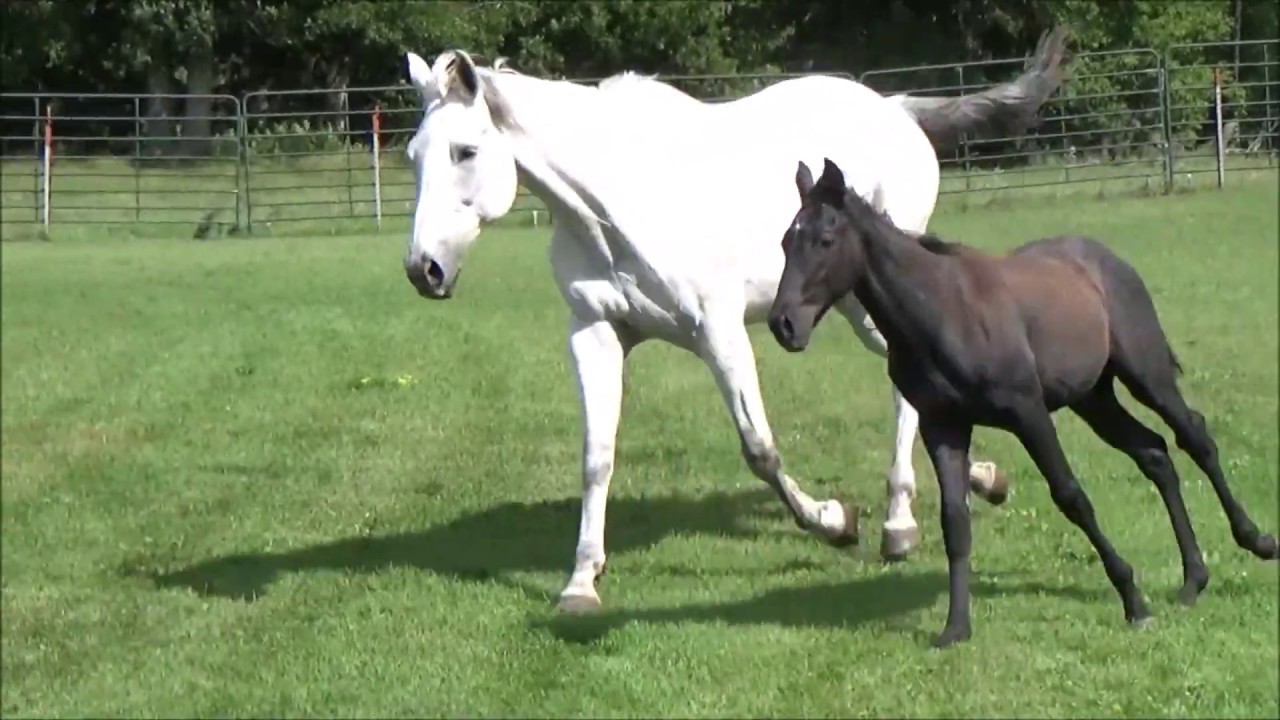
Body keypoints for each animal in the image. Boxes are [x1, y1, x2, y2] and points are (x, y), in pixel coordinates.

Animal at [398, 27, 1071, 613]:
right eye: (413, 156)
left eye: (466, 151)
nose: (423, 269)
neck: (620, 200)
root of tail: (895, 109)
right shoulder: (594, 333)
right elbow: (597, 455)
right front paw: (581, 582)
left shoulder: (716, 333)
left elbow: (760, 450)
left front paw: (835, 521)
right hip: (857, 306)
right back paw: (982, 479)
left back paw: (898, 523)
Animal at [767, 157, 1279, 648]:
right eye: (786, 241)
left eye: (825, 239)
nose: (783, 324)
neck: (939, 309)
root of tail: (1106, 259)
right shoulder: (942, 425)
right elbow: (955, 522)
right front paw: (955, 628)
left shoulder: (1027, 412)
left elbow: (1071, 497)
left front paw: (1133, 600)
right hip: (1093, 398)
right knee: (1154, 453)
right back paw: (1194, 578)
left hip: (1145, 374)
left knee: (1195, 437)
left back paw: (1257, 541)